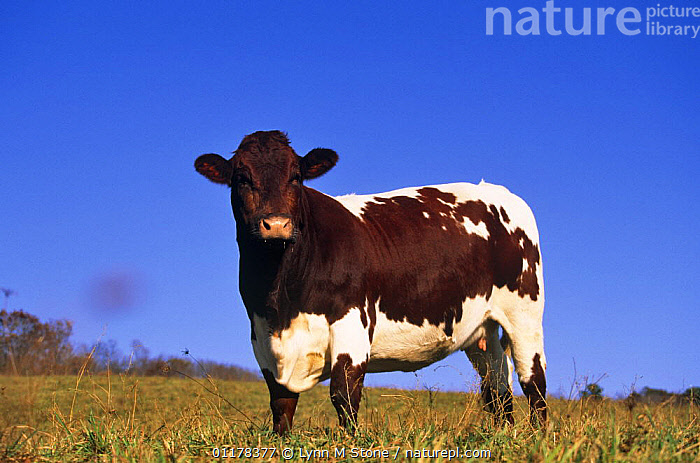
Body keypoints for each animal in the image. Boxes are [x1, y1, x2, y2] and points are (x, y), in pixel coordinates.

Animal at [194, 130, 546, 434]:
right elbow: (281, 404)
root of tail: (496, 191)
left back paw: (539, 436)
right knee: (497, 388)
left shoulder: (352, 322)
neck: (282, 296)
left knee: (533, 381)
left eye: (295, 176)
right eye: (241, 178)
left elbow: (343, 395)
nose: (277, 224)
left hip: (524, 312)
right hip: (480, 327)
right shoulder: (262, 336)